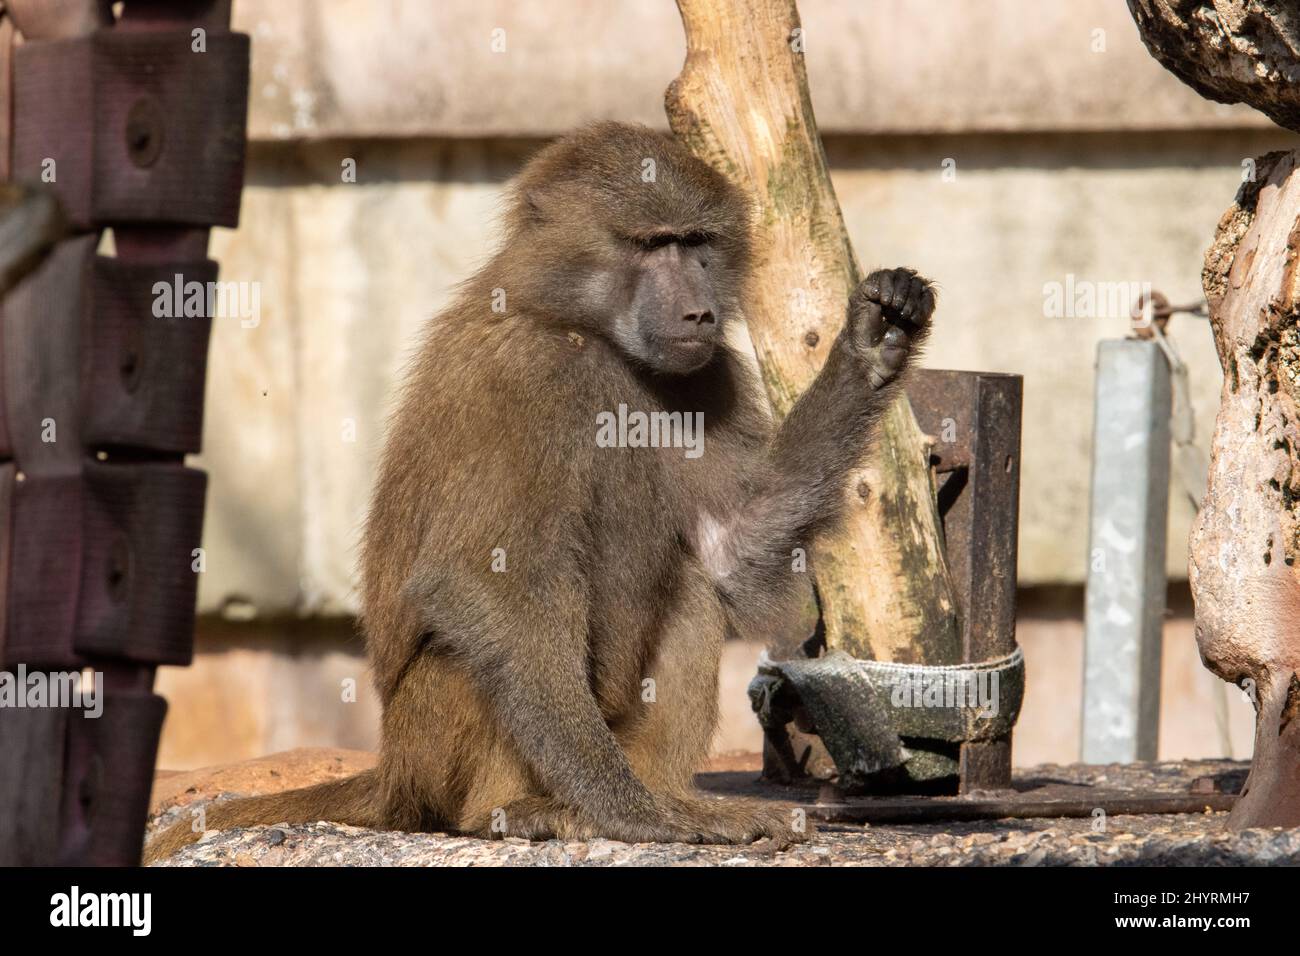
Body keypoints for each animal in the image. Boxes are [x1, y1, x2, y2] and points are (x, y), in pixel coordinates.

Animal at [145, 121, 934, 861]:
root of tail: (392, 770)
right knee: (481, 646)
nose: (701, 315)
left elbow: (733, 545)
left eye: (697, 242)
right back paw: (524, 810)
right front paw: (631, 816)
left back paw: (675, 797)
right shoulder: (520, 377)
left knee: (690, 593)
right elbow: (487, 582)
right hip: (431, 744)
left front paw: (873, 343)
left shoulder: (710, 377)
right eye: (651, 244)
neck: (589, 334)